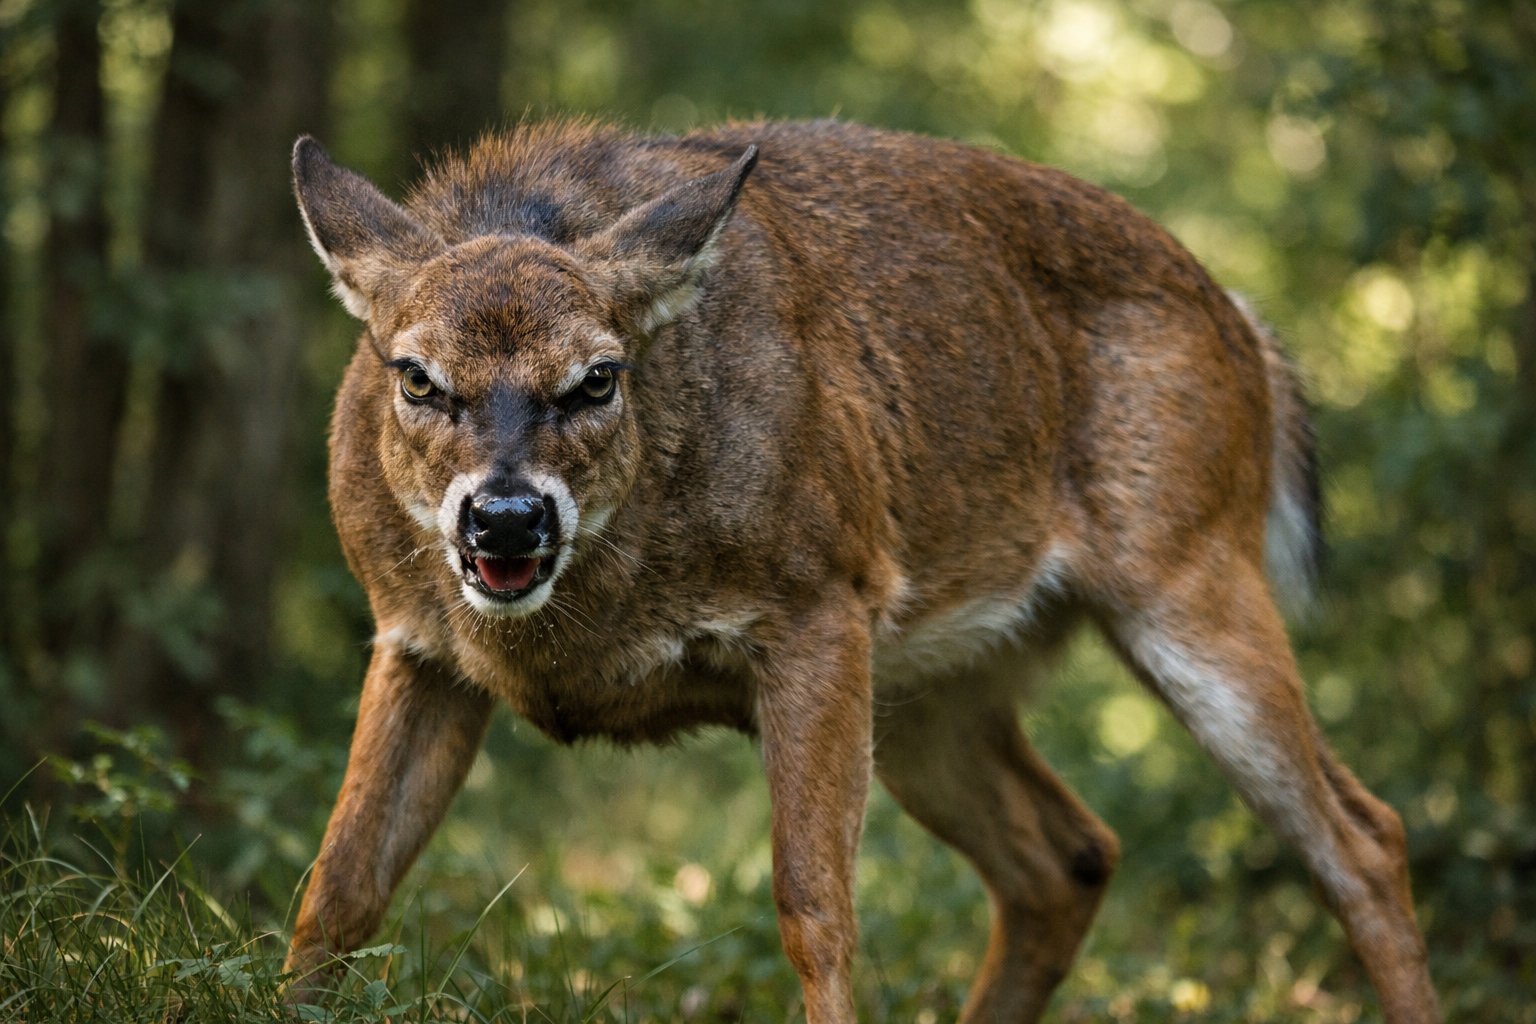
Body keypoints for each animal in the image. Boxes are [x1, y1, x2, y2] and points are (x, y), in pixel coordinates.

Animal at [284, 118, 1439, 1022]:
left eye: (598, 377)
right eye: (415, 375)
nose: (508, 518)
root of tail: (1243, 320)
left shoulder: (818, 600)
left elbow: (814, 904)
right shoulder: (414, 638)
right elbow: (335, 888)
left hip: (1190, 573)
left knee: (1363, 838)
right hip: (938, 687)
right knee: (1068, 856)